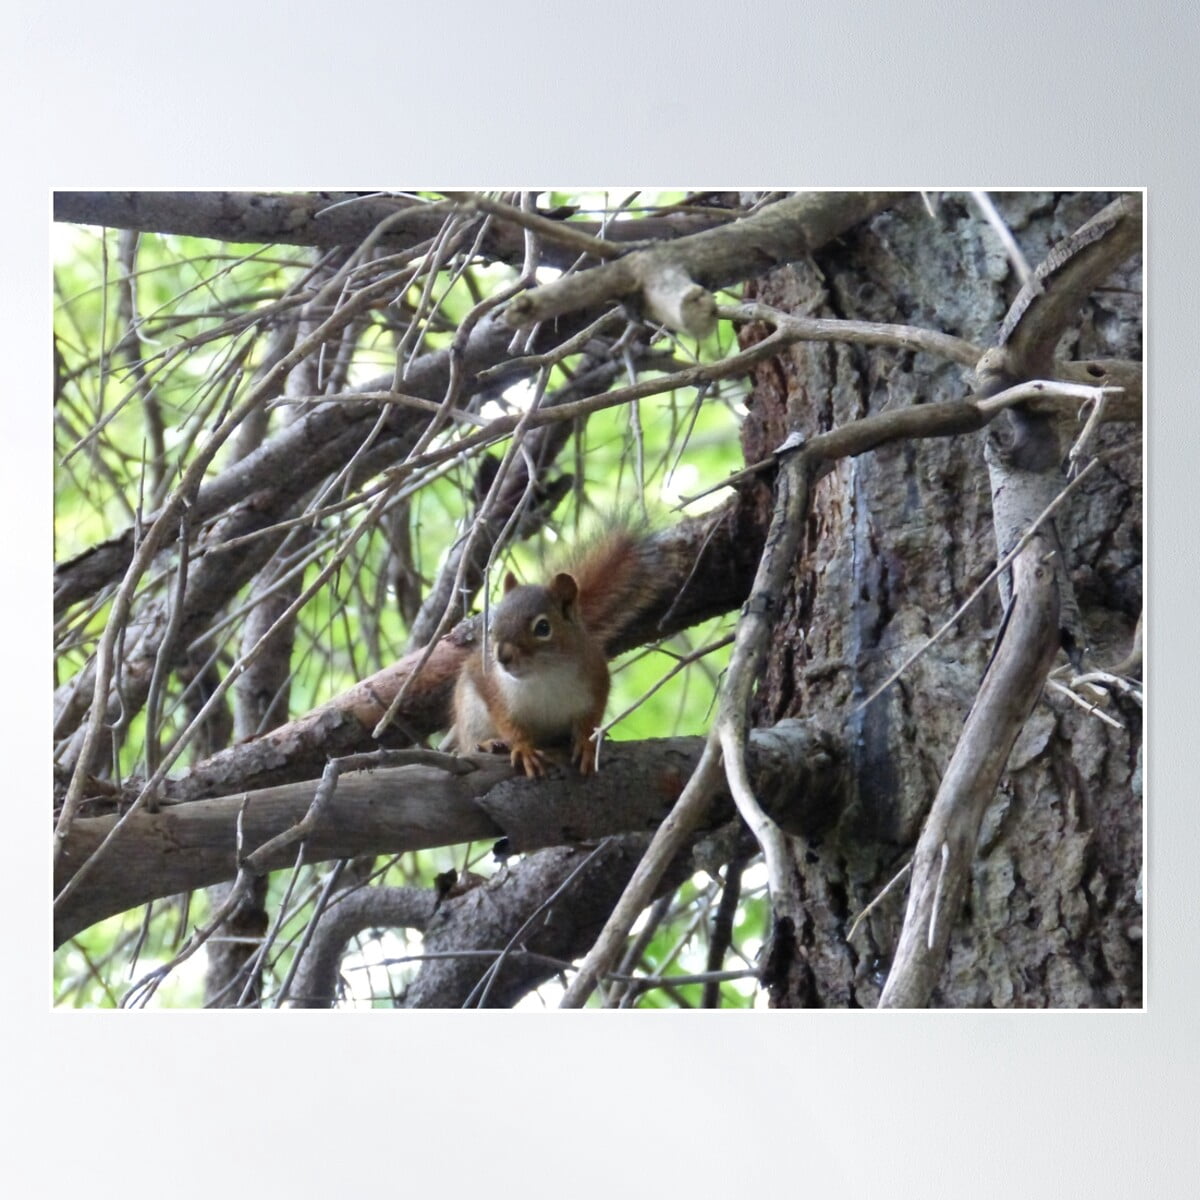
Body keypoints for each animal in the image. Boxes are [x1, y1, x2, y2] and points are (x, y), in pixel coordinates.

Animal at [451, 527, 658, 777]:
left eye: (543, 628)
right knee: (469, 741)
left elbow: (590, 719)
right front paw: (523, 749)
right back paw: (489, 743)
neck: (545, 673)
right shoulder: (496, 690)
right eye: (491, 628)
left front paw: (587, 744)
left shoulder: (596, 680)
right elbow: (509, 724)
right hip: (470, 714)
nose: (502, 657)